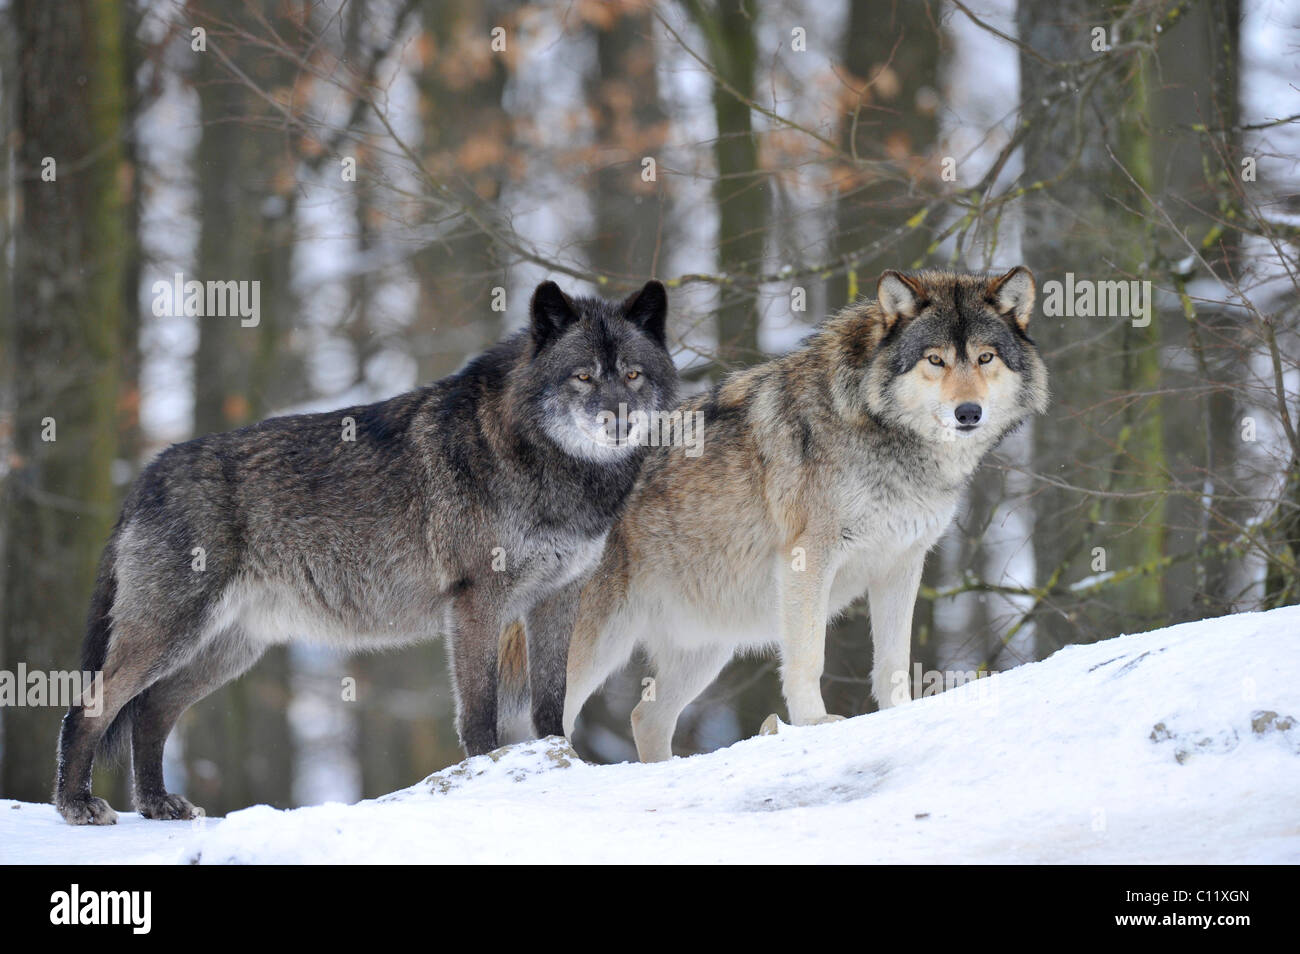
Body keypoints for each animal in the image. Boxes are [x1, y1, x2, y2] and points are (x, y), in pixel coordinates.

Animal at [56, 279, 677, 824]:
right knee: (89, 708)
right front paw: (484, 779)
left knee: (151, 711)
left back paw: (157, 805)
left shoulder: (557, 599)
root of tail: (148, 473)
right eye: (582, 377)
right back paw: (77, 806)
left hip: (227, 651)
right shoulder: (477, 602)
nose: (619, 421)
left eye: (632, 374)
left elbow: (552, 707)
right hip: (172, 635)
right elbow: (480, 713)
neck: (549, 466)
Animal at [563, 268, 1048, 761]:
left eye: (985, 357)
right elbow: (808, 655)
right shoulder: (809, 557)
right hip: (594, 645)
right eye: (936, 359)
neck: (879, 427)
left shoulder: (901, 564)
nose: (968, 412)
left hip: (708, 647)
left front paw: (898, 714)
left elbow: (893, 661)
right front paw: (814, 722)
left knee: (646, 716)